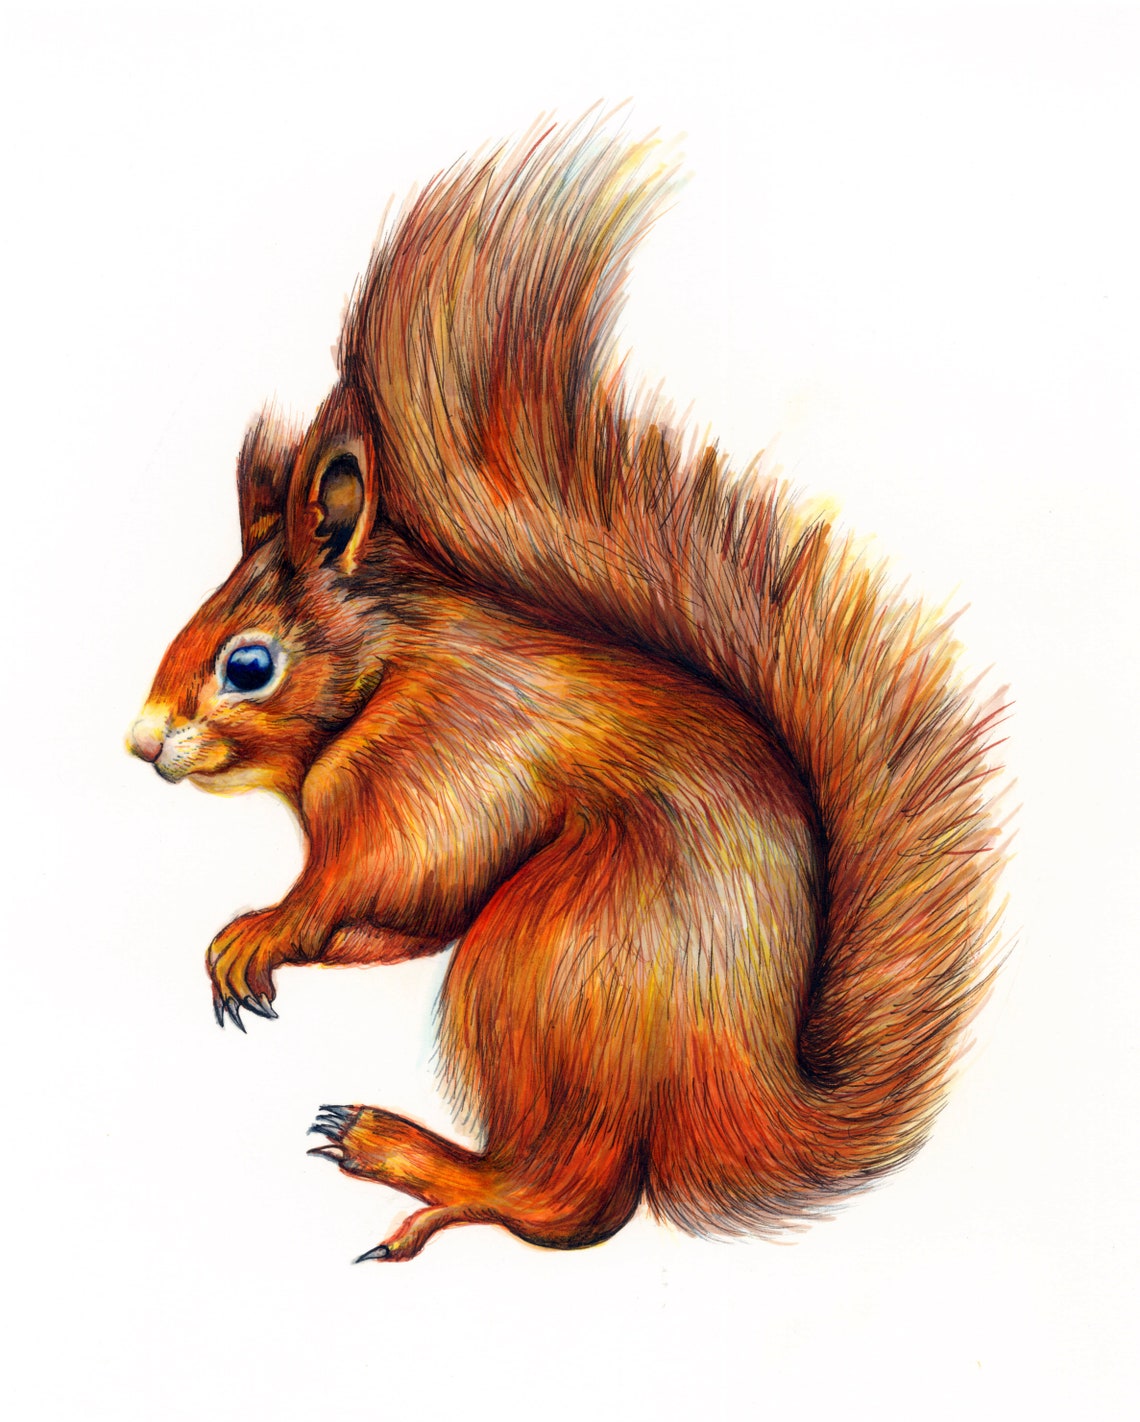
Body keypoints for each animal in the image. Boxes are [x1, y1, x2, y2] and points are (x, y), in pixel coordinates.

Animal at [129, 119, 1003, 1263]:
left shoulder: (441, 768)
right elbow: (395, 919)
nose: (144, 741)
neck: (384, 681)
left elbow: (383, 868)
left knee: (574, 1200)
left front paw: (267, 927)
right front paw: (300, 944)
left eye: (247, 665)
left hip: (548, 958)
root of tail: (739, 1096)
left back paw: (413, 1165)